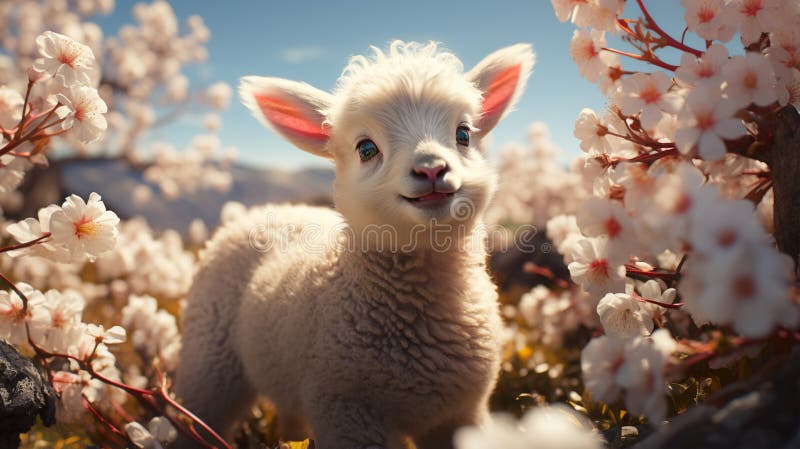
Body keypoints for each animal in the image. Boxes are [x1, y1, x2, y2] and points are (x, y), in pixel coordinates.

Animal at [175, 40, 535, 449]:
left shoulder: (460, 412)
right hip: (209, 358)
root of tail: (262, 211)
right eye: (366, 149)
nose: (431, 169)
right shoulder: (348, 409)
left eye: (463, 134)